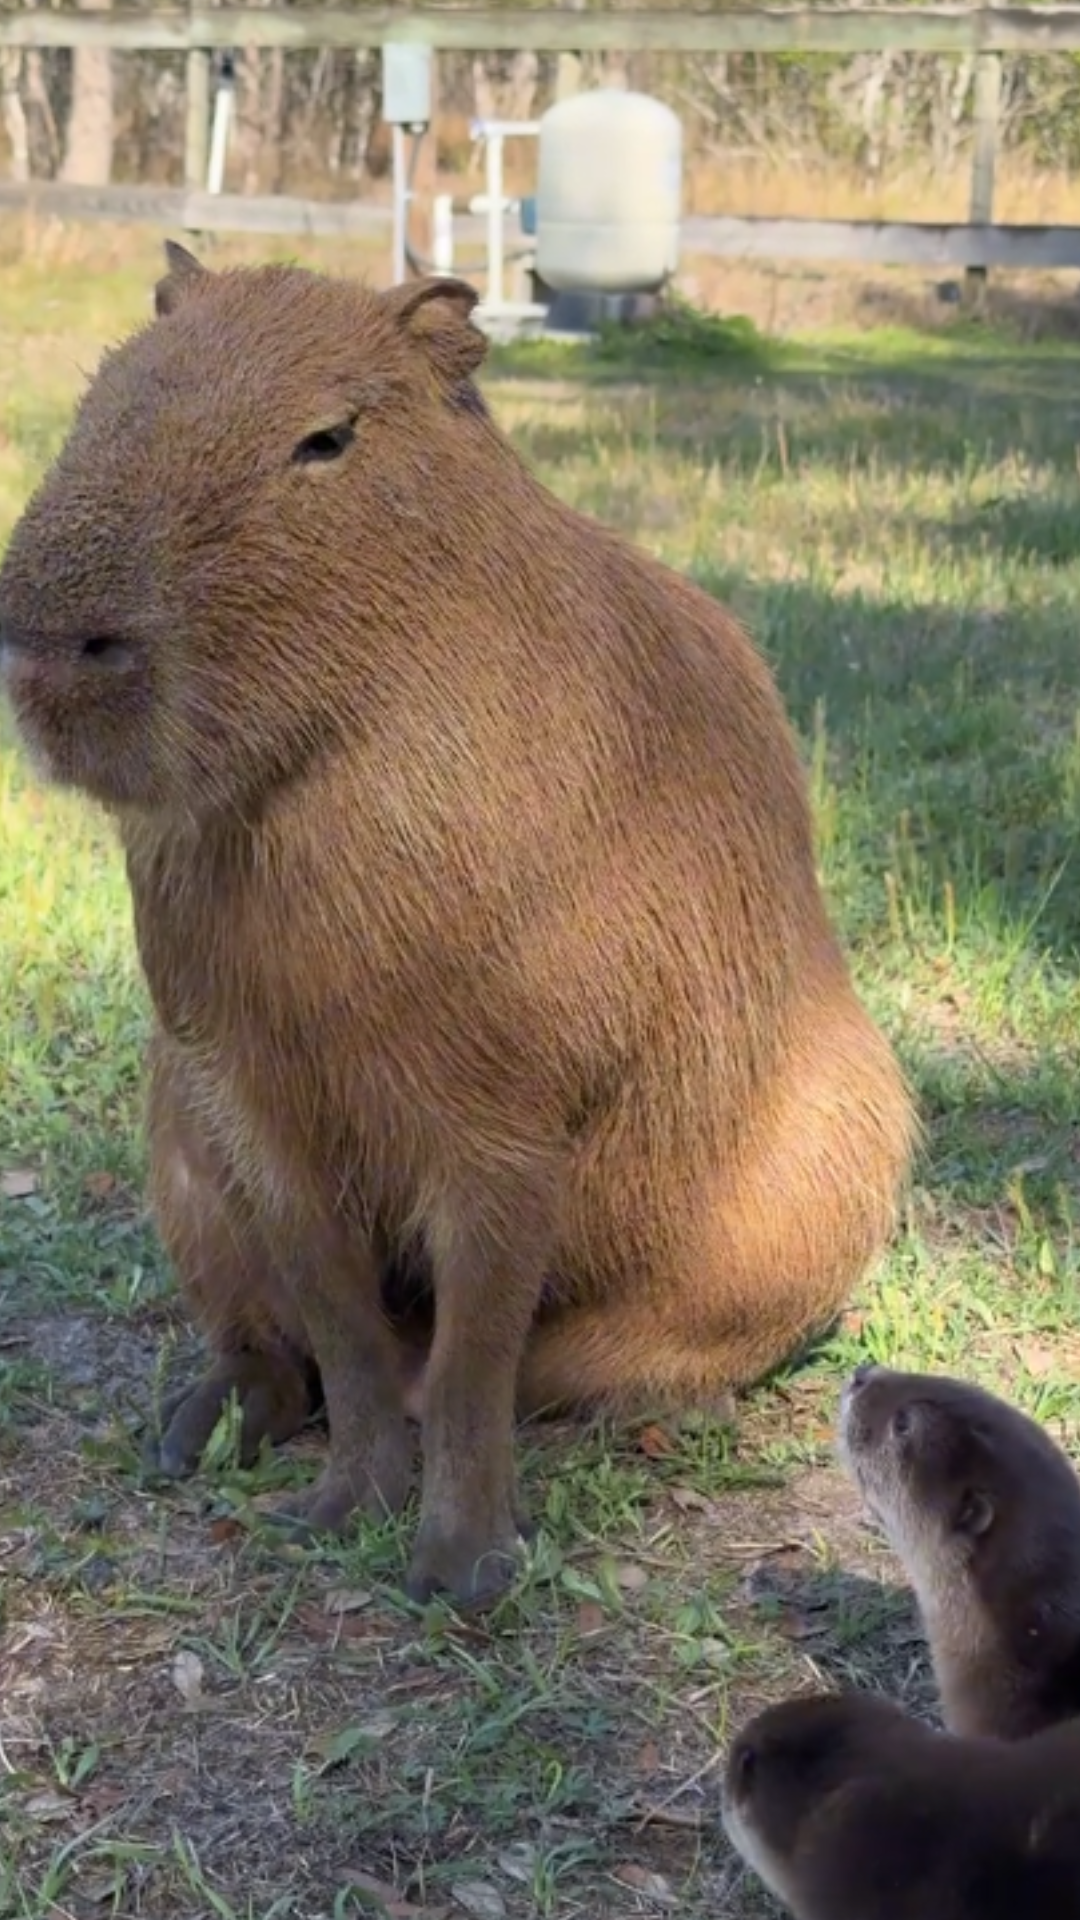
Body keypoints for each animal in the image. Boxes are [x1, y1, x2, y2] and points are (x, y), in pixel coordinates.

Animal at [0, 245, 915, 1607]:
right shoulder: (248, 1102)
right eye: (108, 380)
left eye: (327, 437)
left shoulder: (507, 1129)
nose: (51, 642)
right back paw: (199, 1429)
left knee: (586, 1360)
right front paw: (330, 1514)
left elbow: (480, 1348)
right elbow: (337, 1323)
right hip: (172, 1125)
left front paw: (458, 1567)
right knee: (266, 1340)